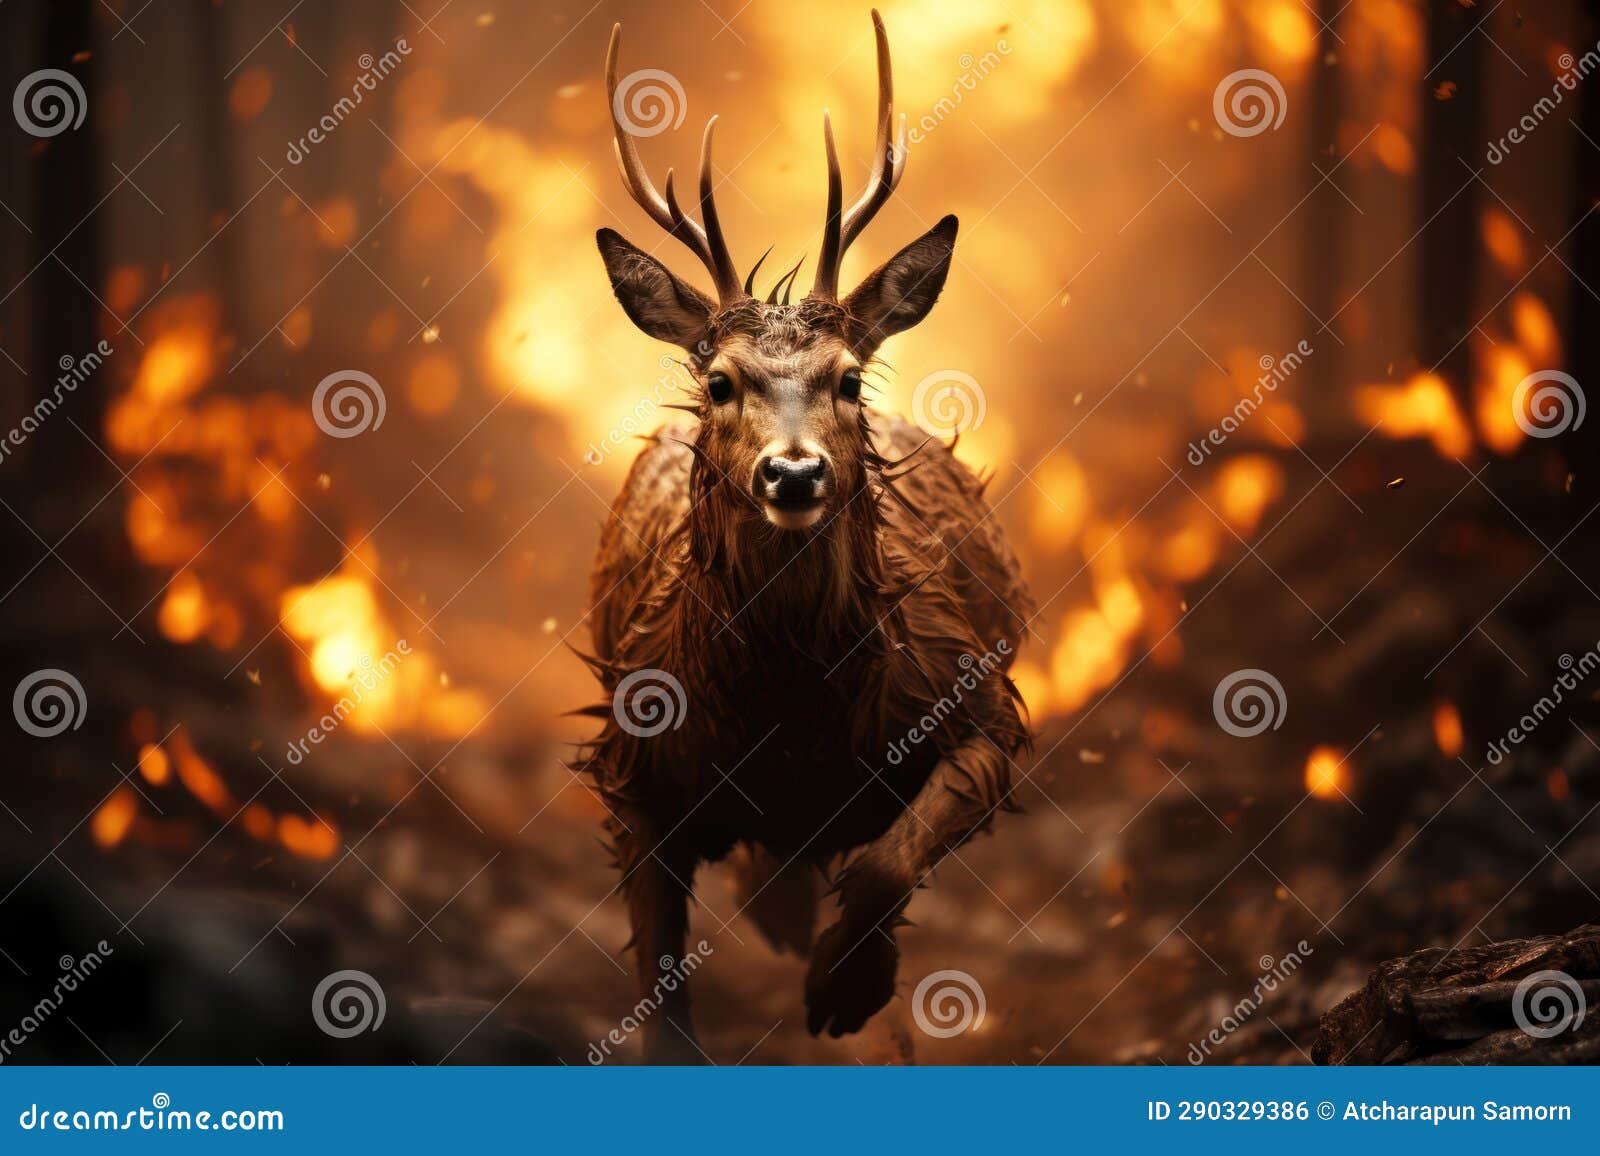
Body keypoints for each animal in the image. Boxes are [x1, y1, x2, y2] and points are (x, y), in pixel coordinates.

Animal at [581, 10, 1033, 1063]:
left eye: (848, 377)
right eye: (720, 381)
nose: (793, 474)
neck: (790, 720)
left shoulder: (980, 701)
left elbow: (883, 866)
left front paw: (846, 988)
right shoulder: (631, 772)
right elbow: (660, 1007)